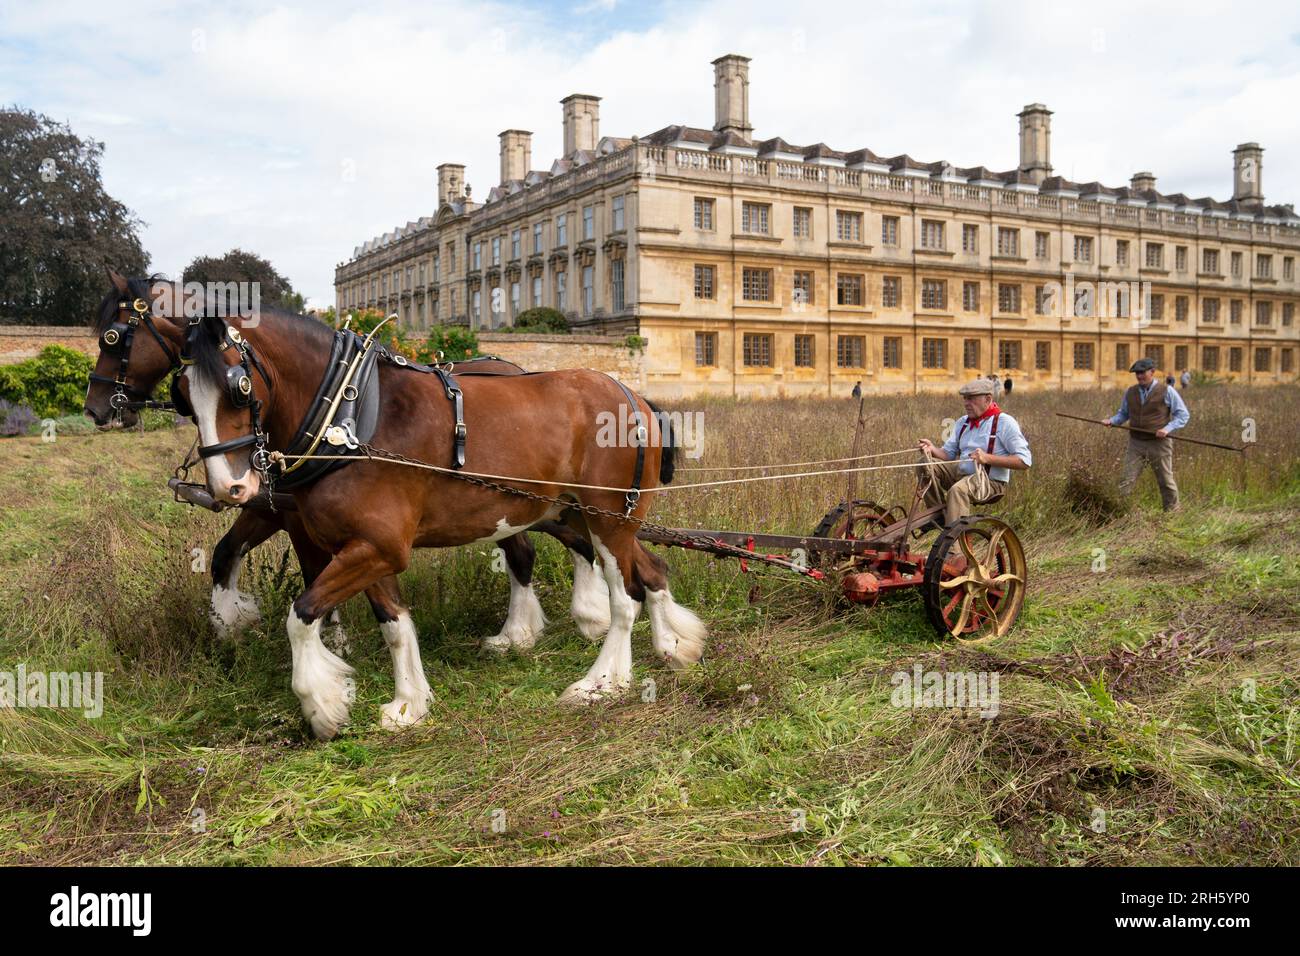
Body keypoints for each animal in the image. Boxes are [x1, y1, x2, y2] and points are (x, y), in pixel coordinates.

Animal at [83, 271, 612, 655]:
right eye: (183, 394)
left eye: (113, 337)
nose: (94, 408)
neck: (331, 405)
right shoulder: (271, 506)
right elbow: (225, 554)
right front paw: (230, 623)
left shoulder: (299, 518)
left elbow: (311, 575)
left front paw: (332, 642)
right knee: (542, 545)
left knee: (556, 543)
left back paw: (575, 617)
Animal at [172, 306, 705, 738]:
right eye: (184, 399)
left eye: (239, 389)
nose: (228, 488)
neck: (348, 418)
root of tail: (636, 397)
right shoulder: (364, 547)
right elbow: (394, 623)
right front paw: (409, 703)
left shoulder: (378, 547)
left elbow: (300, 615)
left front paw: (322, 705)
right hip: (594, 516)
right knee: (651, 570)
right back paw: (673, 645)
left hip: (610, 517)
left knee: (624, 598)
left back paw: (602, 681)